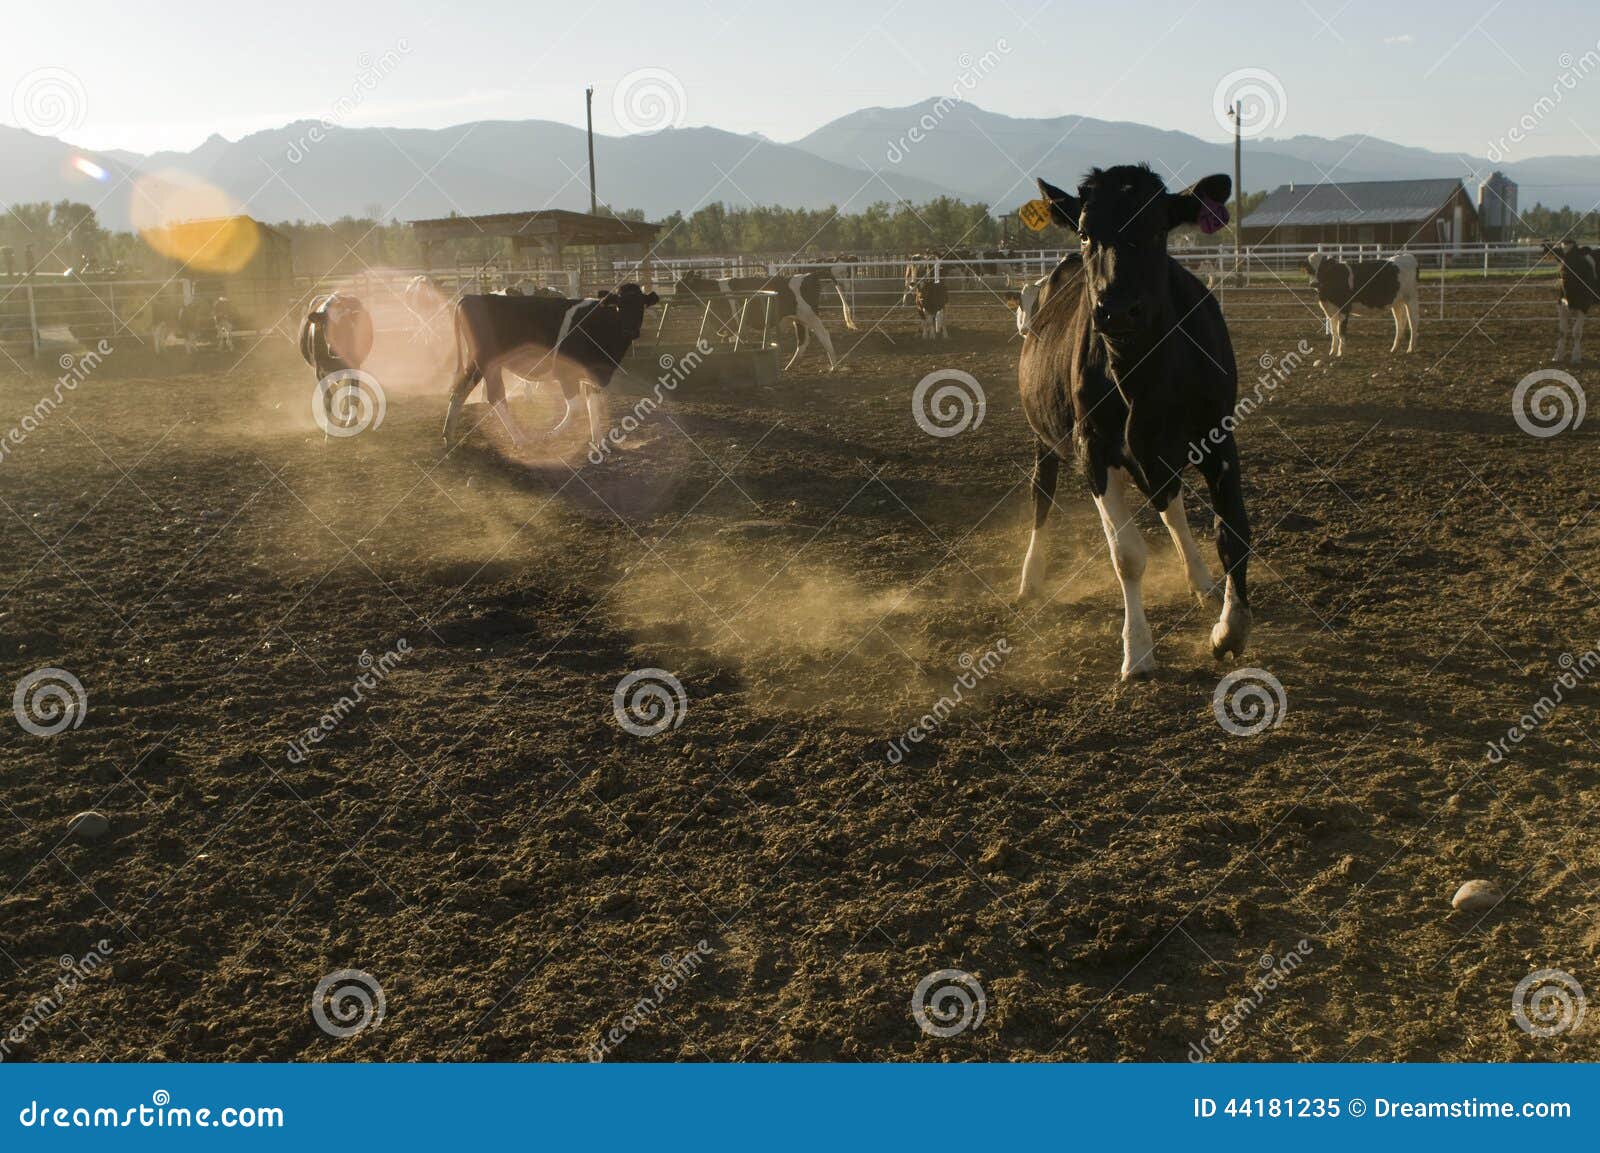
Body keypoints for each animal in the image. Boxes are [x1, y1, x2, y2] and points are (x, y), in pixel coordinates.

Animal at [443, 283, 660, 450]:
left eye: (641, 306)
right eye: (619, 305)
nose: (630, 330)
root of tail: (470, 298)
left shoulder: (593, 375)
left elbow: (594, 406)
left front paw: (599, 442)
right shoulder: (567, 375)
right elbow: (576, 409)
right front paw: (550, 436)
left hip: (483, 364)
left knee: (467, 390)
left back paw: (449, 435)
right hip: (486, 361)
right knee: (490, 394)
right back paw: (520, 439)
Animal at [1016, 165, 1250, 680]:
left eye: (1160, 229)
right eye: (1086, 232)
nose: (1117, 309)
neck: (1143, 376)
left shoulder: (1218, 437)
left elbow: (1233, 532)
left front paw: (1230, 628)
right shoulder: (1094, 451)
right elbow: (1127, 555)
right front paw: (1138, 651)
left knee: (1171, 504)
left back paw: (1200, 581)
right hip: (1045, 438)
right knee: (1042, 496)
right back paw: (1030, 577)